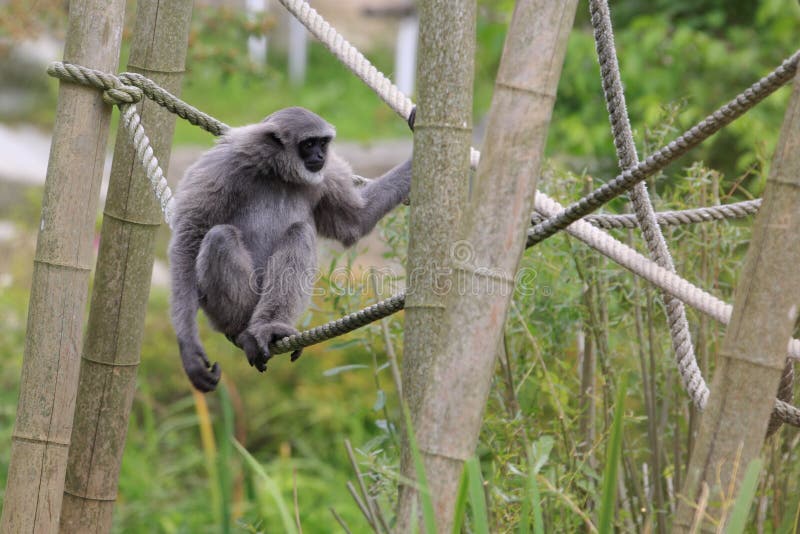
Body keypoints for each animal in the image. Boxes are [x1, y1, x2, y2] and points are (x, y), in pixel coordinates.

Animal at [168, 107, 413, 392]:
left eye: (323, 143)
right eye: (308, 144)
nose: (319, 156)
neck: (278, 173)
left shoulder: (327, 172)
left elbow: (354, 222)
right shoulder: (223, 163)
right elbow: (189, 236)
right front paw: (189, 347)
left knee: (300, 232)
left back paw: (272, 328)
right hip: (222, 310)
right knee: (219, 236)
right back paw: (243, 332)